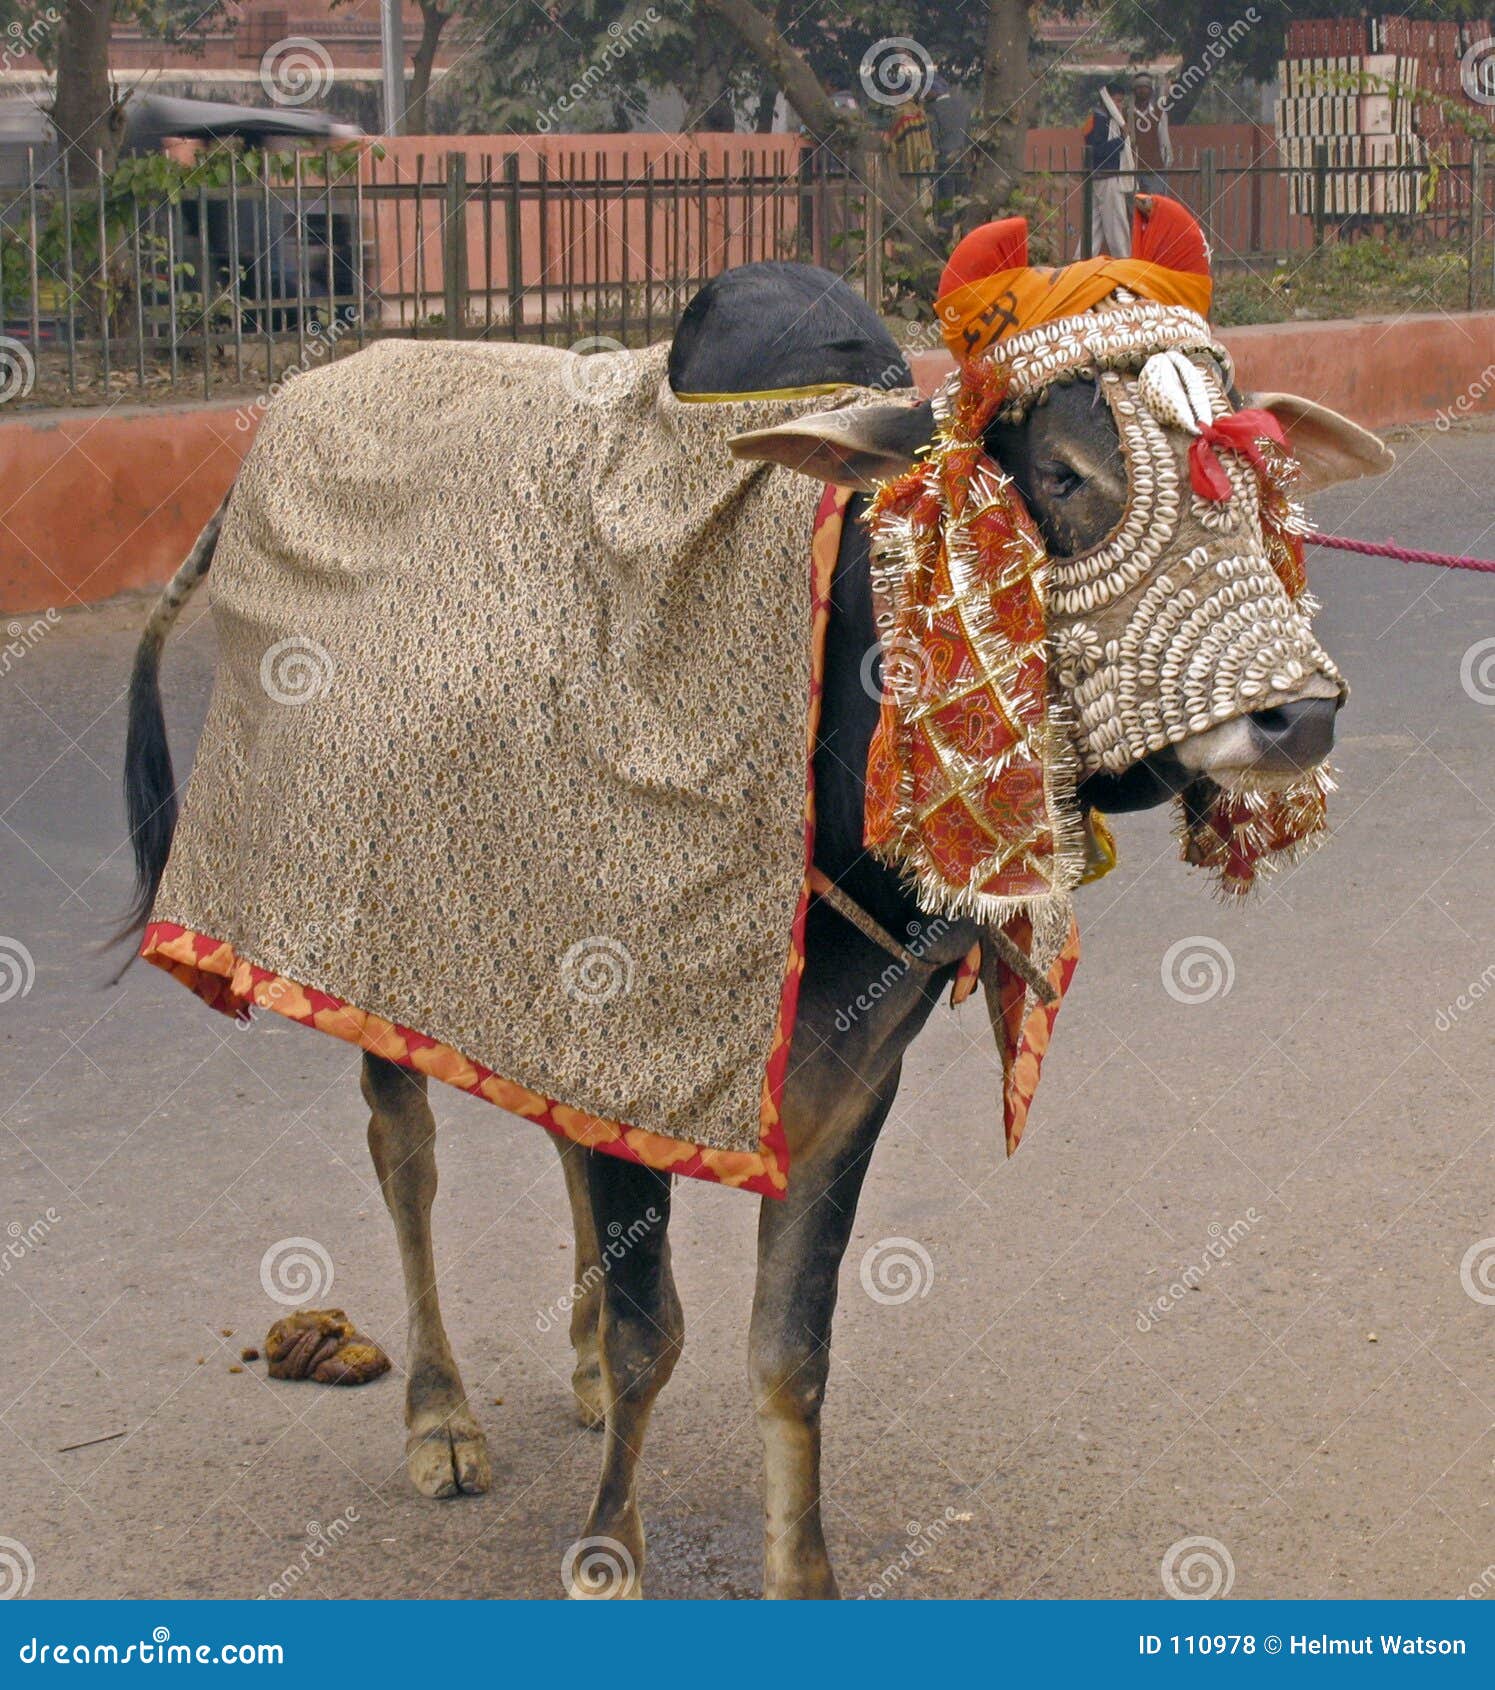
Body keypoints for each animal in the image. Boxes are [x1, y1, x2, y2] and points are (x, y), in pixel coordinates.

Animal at [119, 255, 1391, 1600]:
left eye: (1260, 477)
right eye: (1058, 474)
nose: (1299, 715)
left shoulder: (842, 1073)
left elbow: (789, 1348)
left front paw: (800, 1575)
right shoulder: (628, 1032)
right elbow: (654, 1332)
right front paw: (608, 1554)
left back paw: (566, 1369)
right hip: (365, 957)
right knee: (404, 1157)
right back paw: (442, 1418)